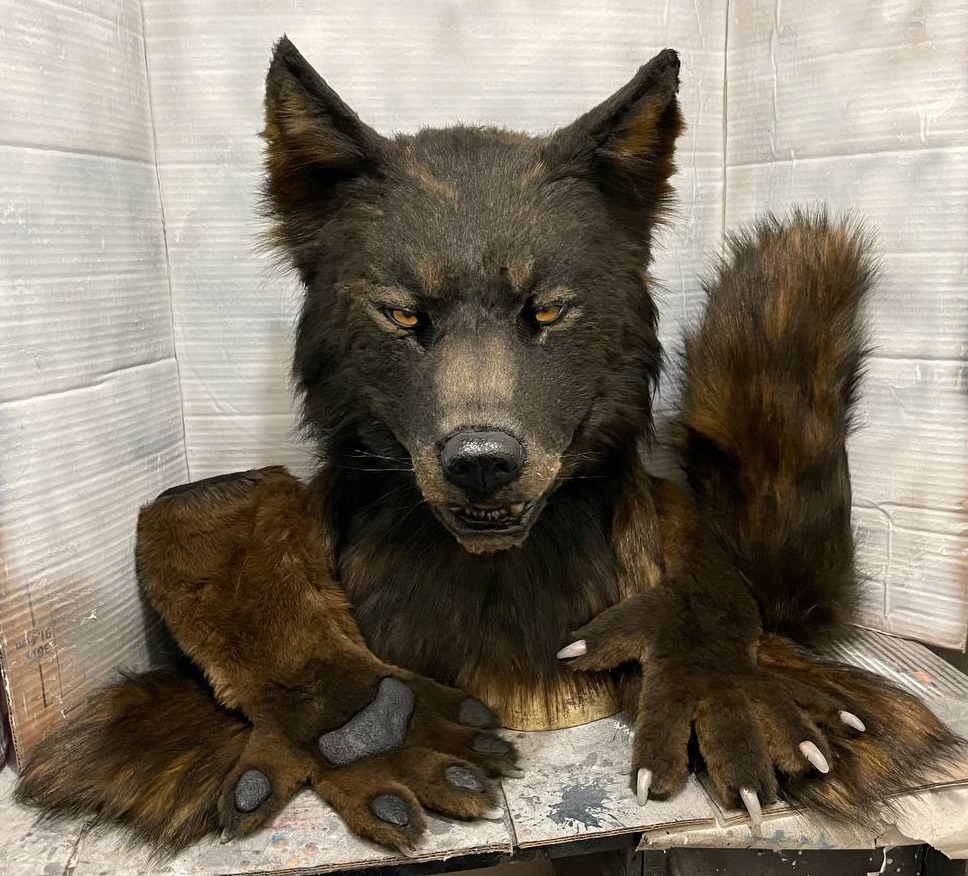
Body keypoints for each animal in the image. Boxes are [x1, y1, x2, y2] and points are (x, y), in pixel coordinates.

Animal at [17, 37, 961, 859]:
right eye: (404, 314)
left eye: (546, 309)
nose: (480, 461)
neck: (497, 584)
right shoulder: (231, 500)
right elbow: (214, 519)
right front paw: (374, 720)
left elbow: (716, 586)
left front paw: (729, 689)